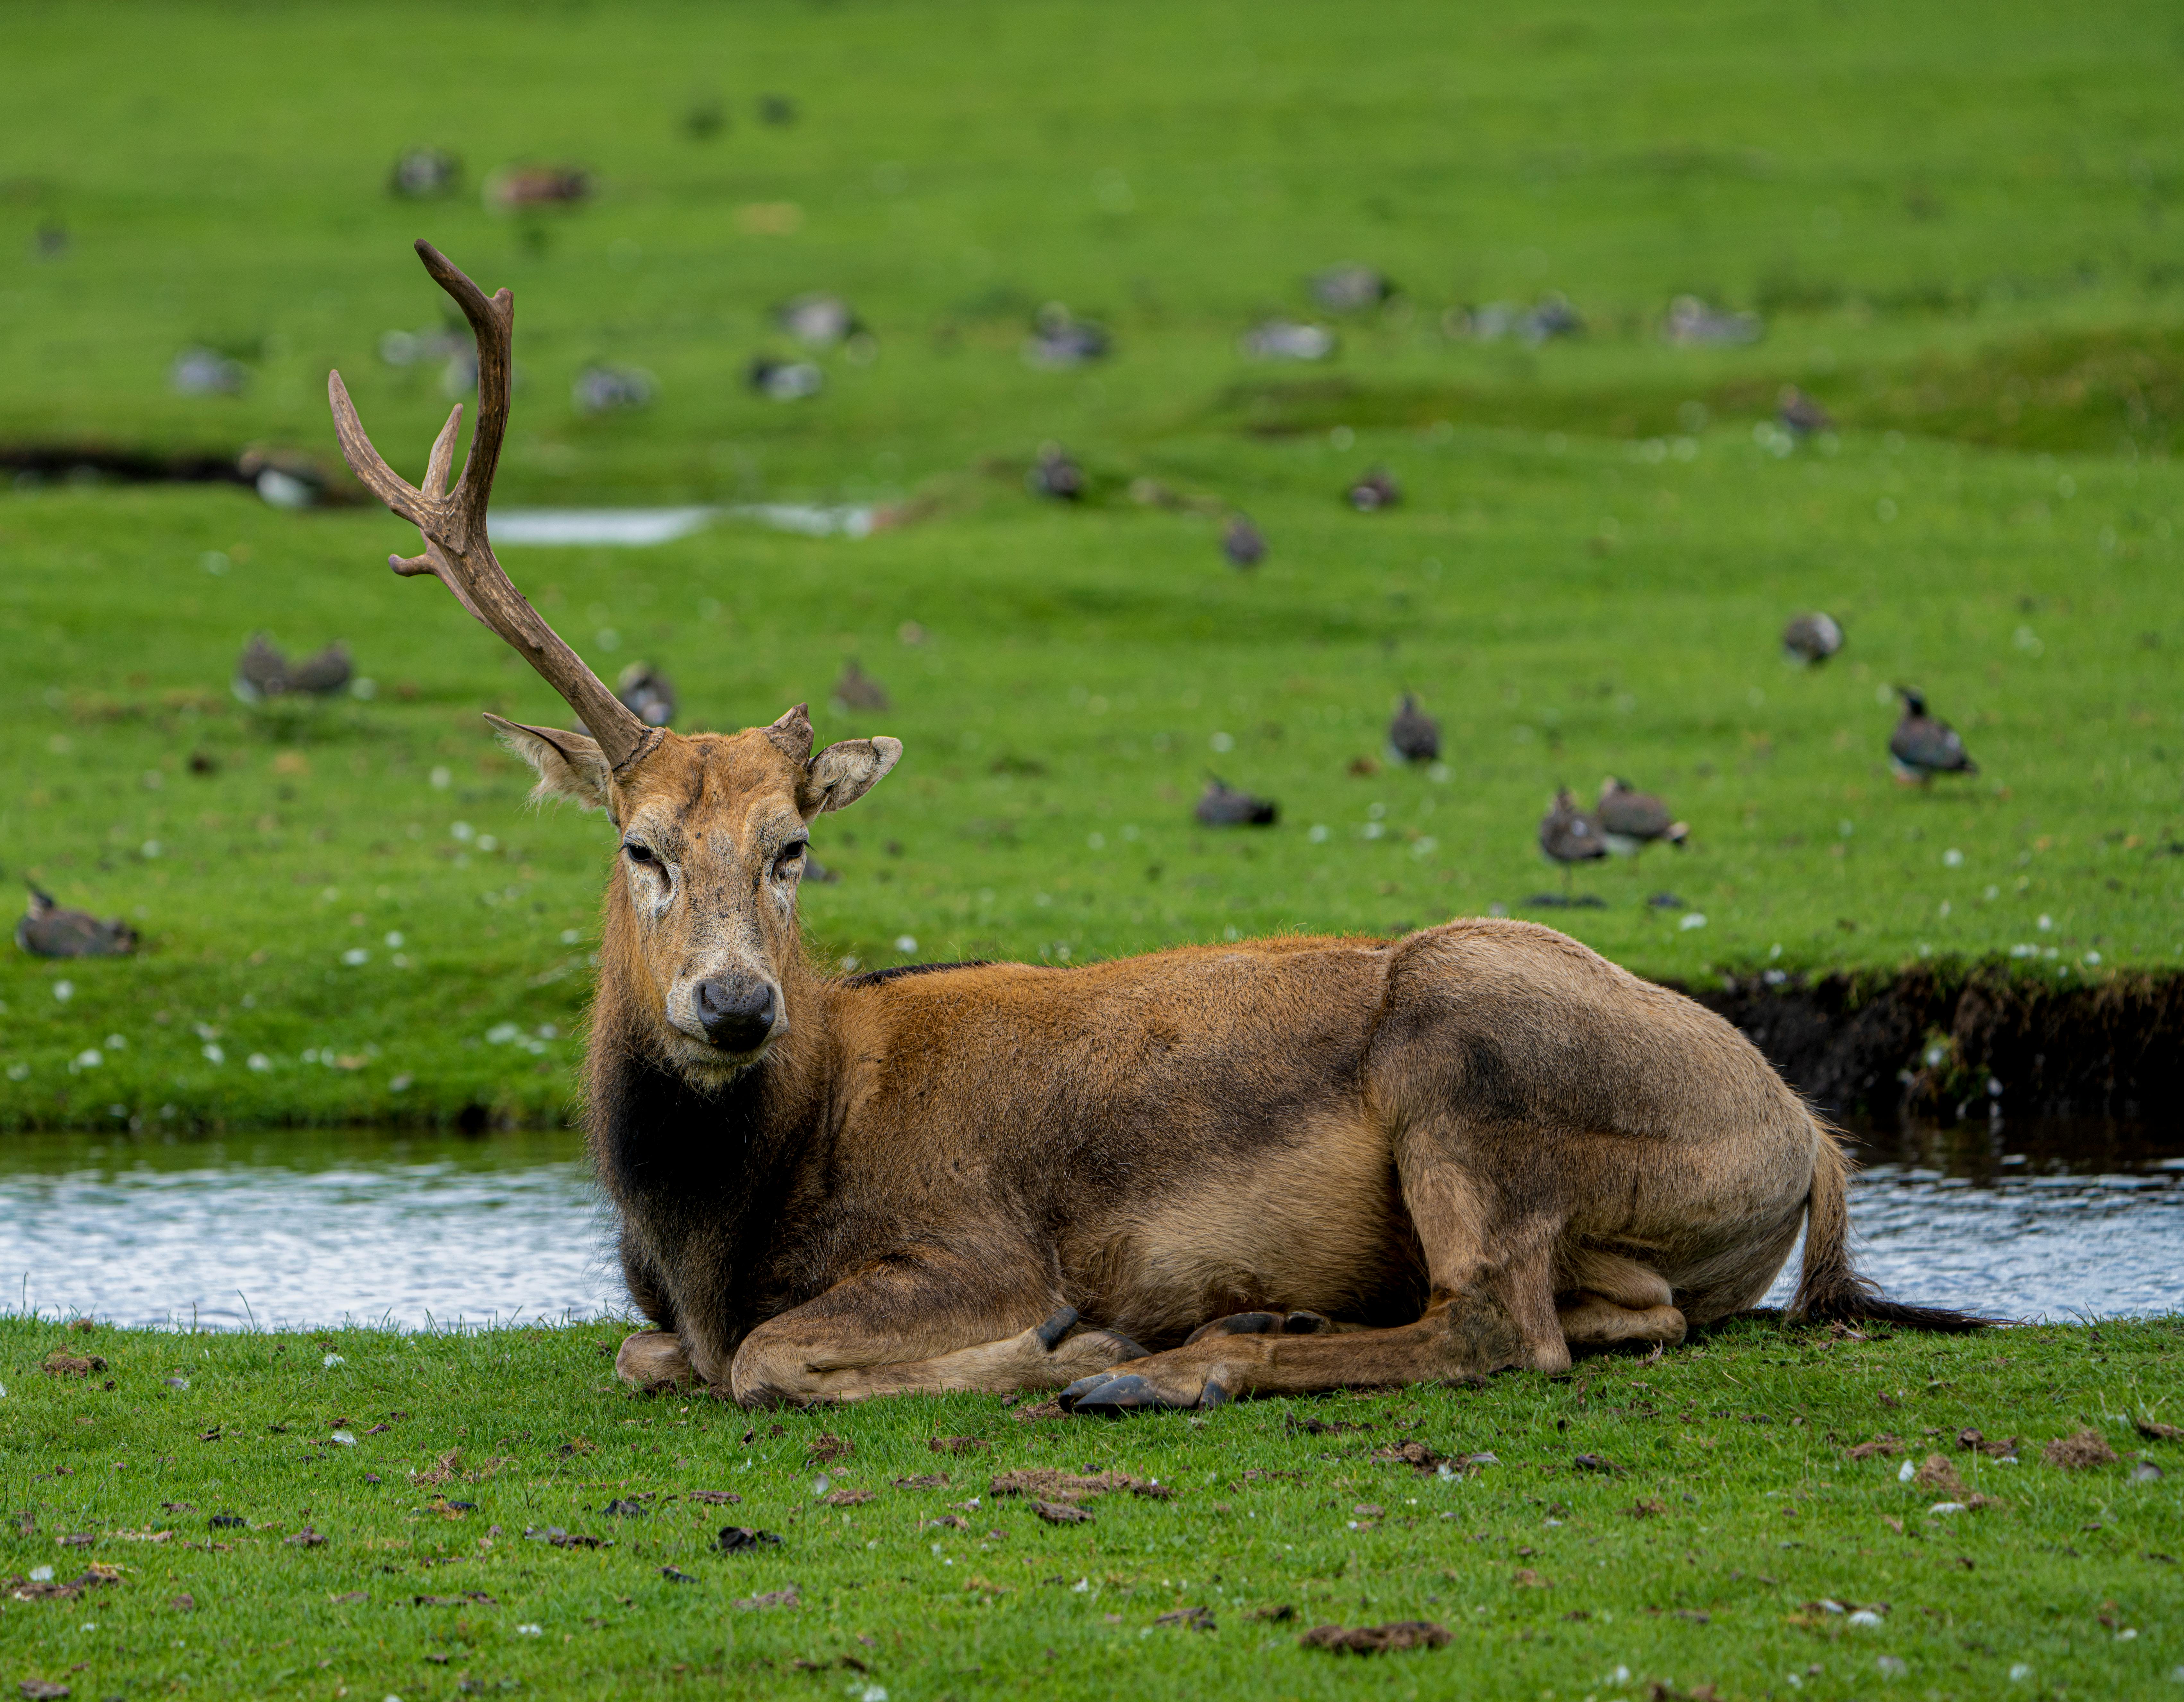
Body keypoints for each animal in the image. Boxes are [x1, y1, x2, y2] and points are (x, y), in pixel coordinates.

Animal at [329, 243, 1987, 1414]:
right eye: (642, 845)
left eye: (794, 847)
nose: (733, 1006)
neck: (710, 1224)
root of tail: (1807, 1131)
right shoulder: (664, 1310)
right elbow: (650, 1355)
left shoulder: (971, 1241)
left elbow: (769, 1359)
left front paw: (1065, 1339)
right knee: (1618, 1315)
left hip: (1473, 1047)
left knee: (1495, 1325)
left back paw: (1170, 1360)